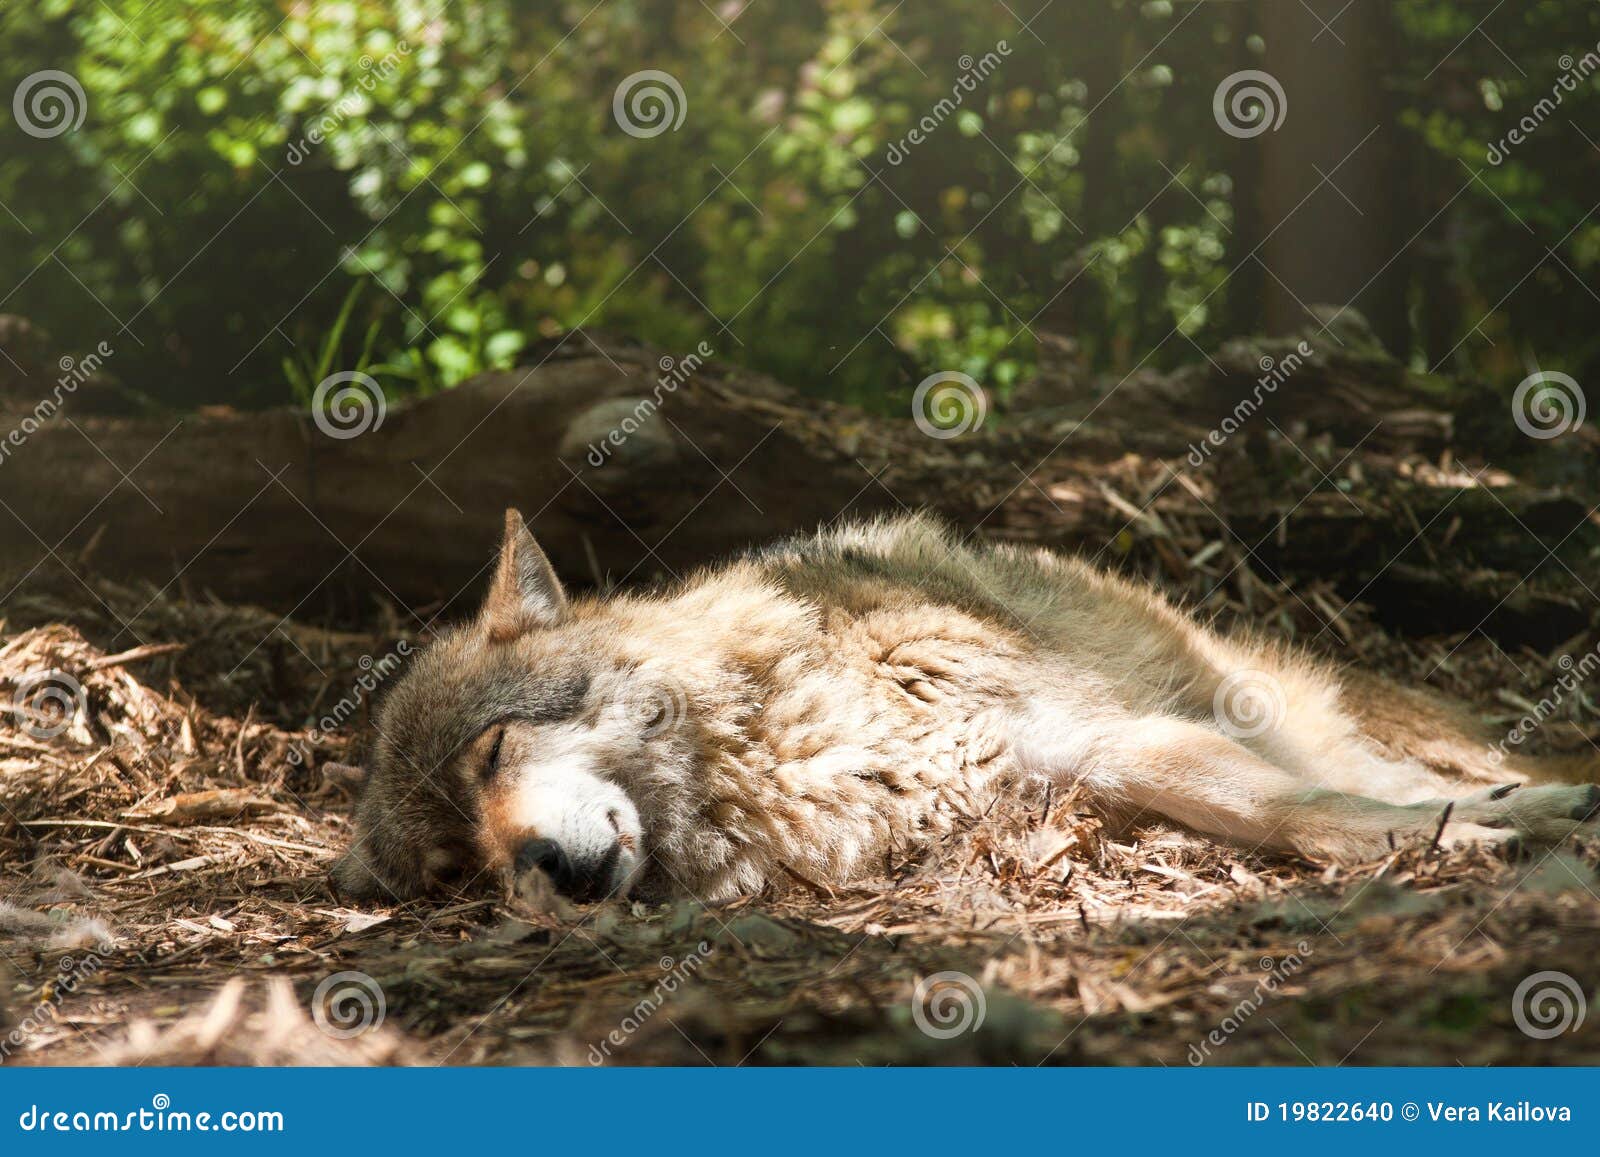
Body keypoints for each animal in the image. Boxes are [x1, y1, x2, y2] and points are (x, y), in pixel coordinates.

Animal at [331, 510, 1600, 904]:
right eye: (459, 869)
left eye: (494, 748)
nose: (540, 868)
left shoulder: (1104, 741)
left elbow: (1299, 816)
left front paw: (1466, 843)